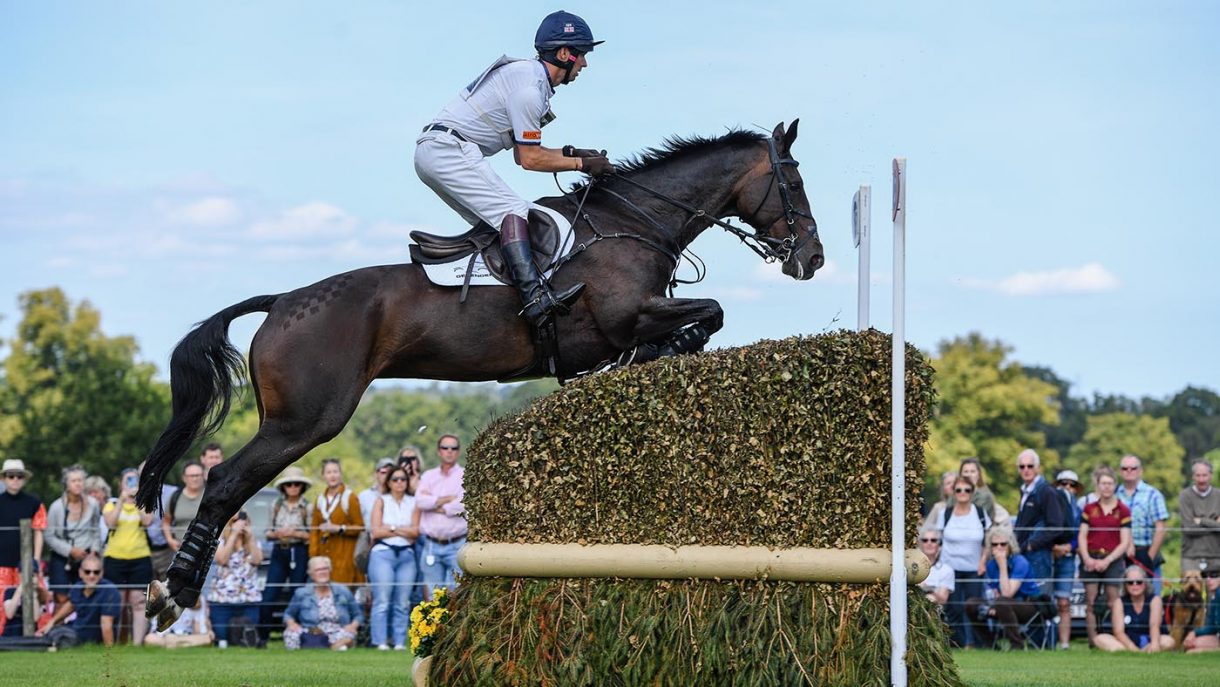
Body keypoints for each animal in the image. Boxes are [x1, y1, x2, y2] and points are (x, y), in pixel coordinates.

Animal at [139, 120, 824, 628]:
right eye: (792, 180)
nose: (813, 258)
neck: (632, 225)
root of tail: (282, 300)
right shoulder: (628, 315)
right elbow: (709, 311)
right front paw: (669, 346)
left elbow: (702, 319)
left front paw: (657, 356)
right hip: (304, 421)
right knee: (224, 483)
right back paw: (174, 592)